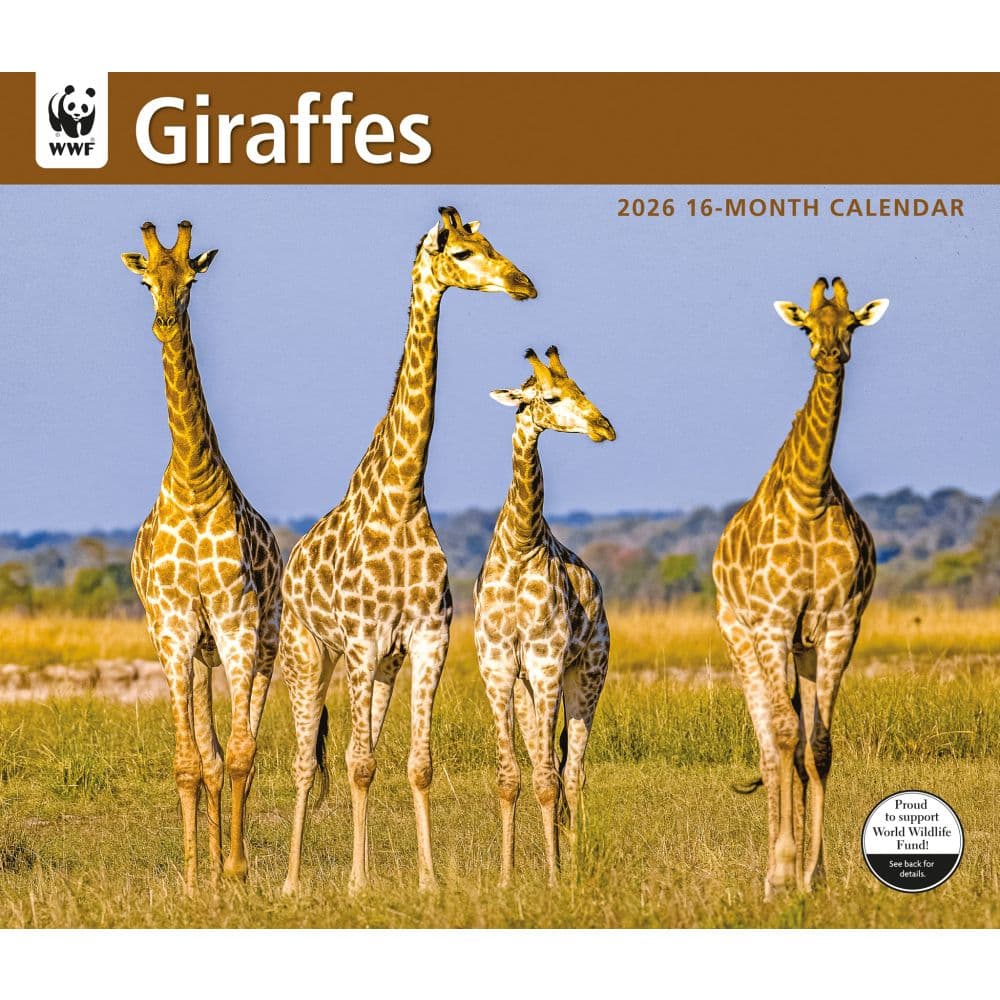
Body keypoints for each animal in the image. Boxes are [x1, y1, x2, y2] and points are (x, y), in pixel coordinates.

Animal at [280, 206, 537, 894]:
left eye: (493, 241)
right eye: (465, 252)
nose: (524, 283)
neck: (401, 496)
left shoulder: (426, 638)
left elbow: (415, 764)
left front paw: (427, 881)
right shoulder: (363, 640)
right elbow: (359, 763)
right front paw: (356, 883)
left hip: (382, 669)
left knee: (350, 753)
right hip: (308, 654)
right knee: (306, 762)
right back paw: (291, 881)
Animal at [476, 346, 616, 888]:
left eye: (582, 388)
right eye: (551, 397)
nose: (604, 426)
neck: (520, 545)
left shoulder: (548, 662)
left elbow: (549, 779)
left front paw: (556, 877)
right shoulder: (498, 669)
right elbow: (512, 776)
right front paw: (506, 876)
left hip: (588, 673)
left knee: (572, 772)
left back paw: (574, 862)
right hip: (527, 688)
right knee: (548, 762)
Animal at [712, 276, 888, 899]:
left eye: (852, 324)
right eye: (809, 326)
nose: (830, 354)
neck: (810, 497)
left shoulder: (838, 623)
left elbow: (820, 747)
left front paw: (817, 874)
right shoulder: (771, 621)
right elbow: (786, 738)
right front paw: (785, 870)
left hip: (802, 648)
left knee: (796, 743)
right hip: (741, 639)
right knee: (769, 744)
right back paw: (771, 871)